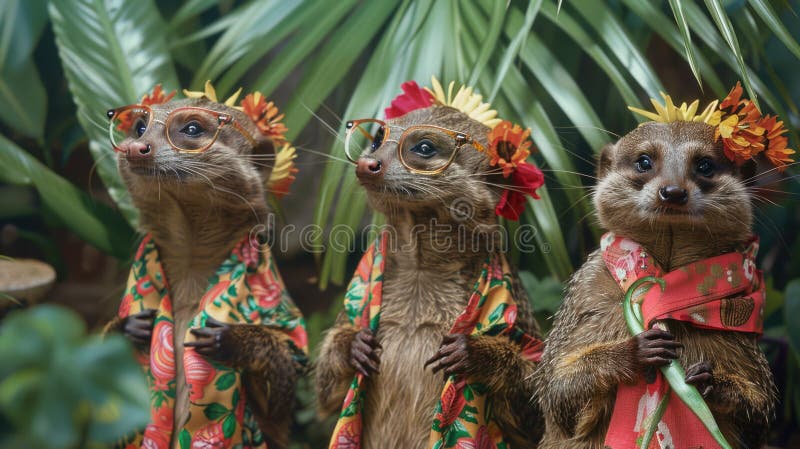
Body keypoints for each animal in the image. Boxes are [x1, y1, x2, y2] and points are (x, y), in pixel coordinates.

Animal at [104, 86, 305, 449]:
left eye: (193, 128)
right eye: (139, 127)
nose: (135, 148)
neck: (191, 260)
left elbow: (282, 393)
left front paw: (228, 338)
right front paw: (131, 326)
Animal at [315, 82, 544, 449]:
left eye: (424, 147)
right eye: (377, 139)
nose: (366, 163)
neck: (421, 272)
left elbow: (538, 409)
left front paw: (473, 351)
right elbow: (326, 391)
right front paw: (355, 344)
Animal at [535, 120, 777, 448]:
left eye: (705, 165)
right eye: (644, 161)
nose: (673, 192)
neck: (662, 284)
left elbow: (761, 412)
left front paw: (709, 382)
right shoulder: (584, 296)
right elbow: (557, 396)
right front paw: (635, 349)